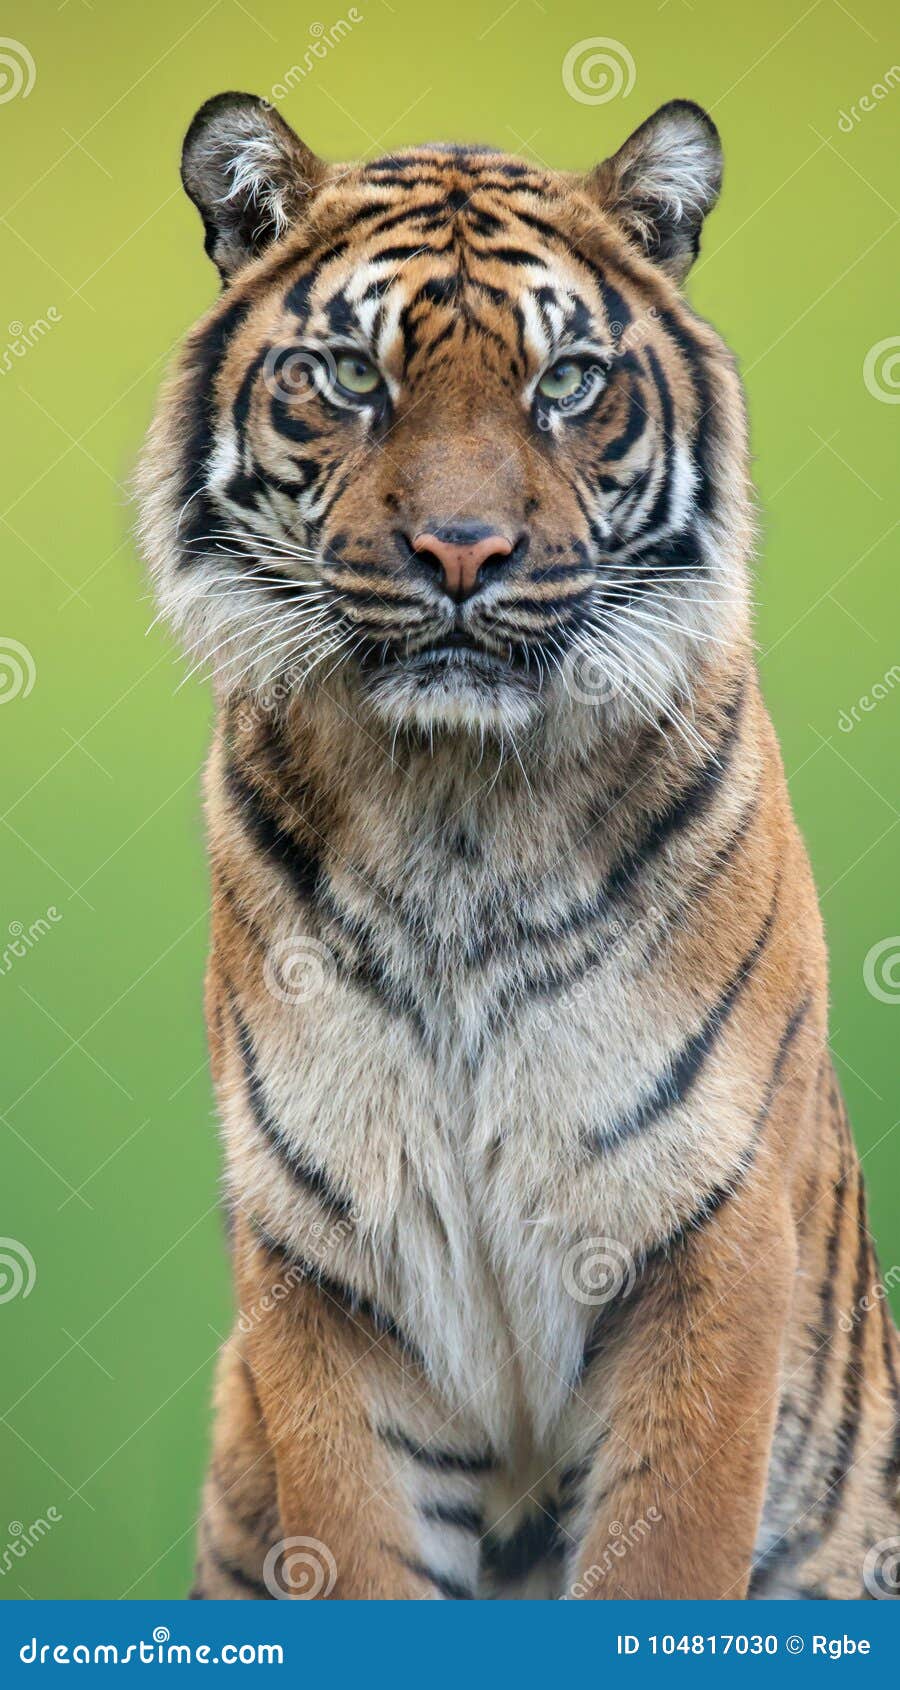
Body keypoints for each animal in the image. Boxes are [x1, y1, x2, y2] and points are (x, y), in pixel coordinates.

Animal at [137, 90, 900, 1601]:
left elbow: (663, 1562)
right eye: (350, 376)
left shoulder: (708, 1241)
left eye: (567, 382)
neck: (455, 809)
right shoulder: (330, 1272)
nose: (461, 550)